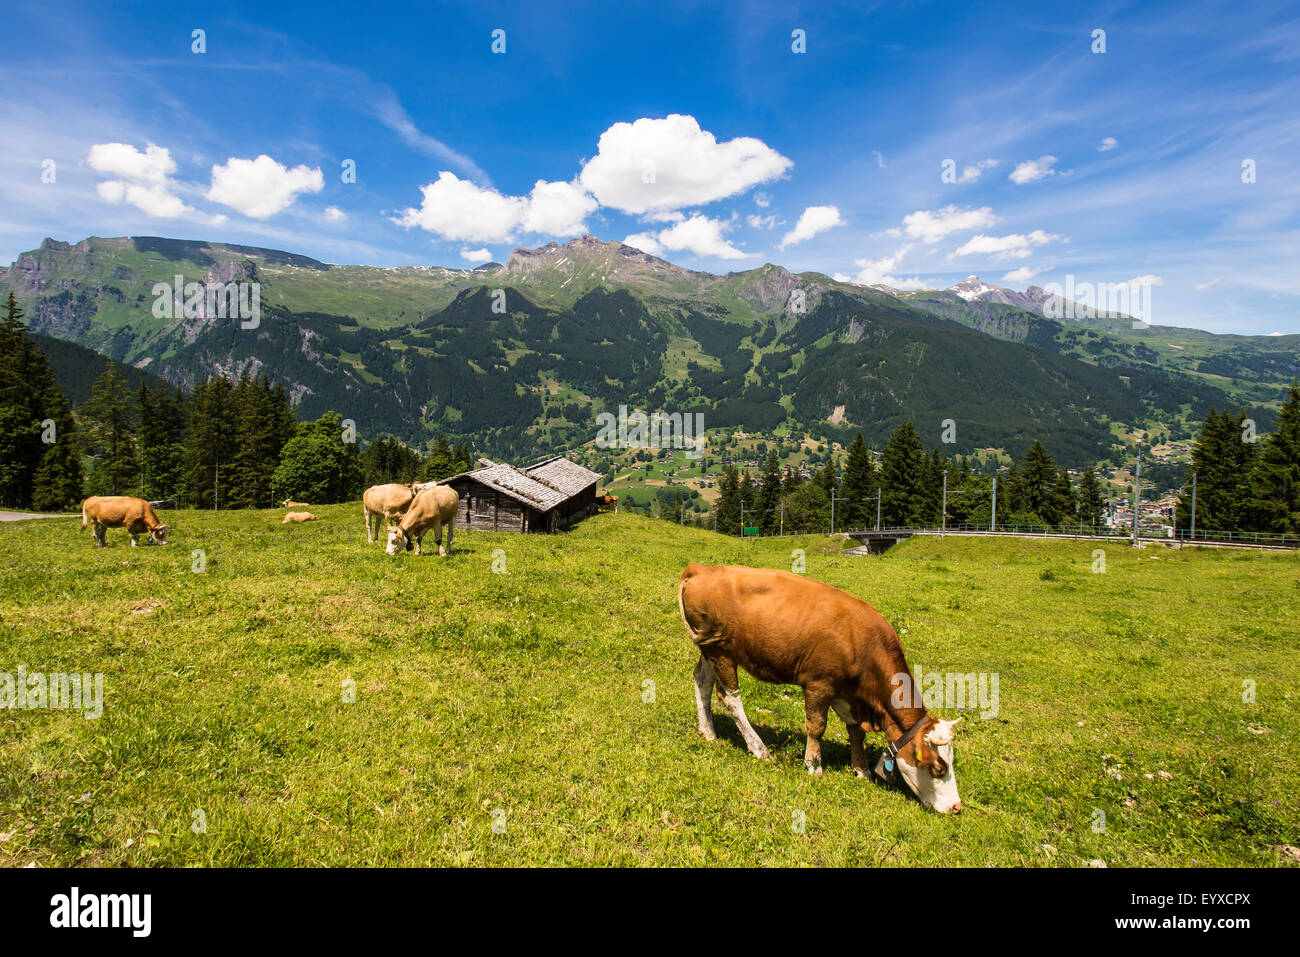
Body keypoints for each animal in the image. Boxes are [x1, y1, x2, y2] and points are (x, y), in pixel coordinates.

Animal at [677, 563, 962, 814]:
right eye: (938, 767)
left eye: (951, 761)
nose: (956, 807)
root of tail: (703, 569)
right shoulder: (818, 684)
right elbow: (817, 726)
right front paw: (814, 765)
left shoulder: (847, 692)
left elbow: (856, 732)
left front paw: (861, 769)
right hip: (721, 650)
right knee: (730, 698)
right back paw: (759, 748)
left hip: (710, 650)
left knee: (702, 682)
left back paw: (708, 731)